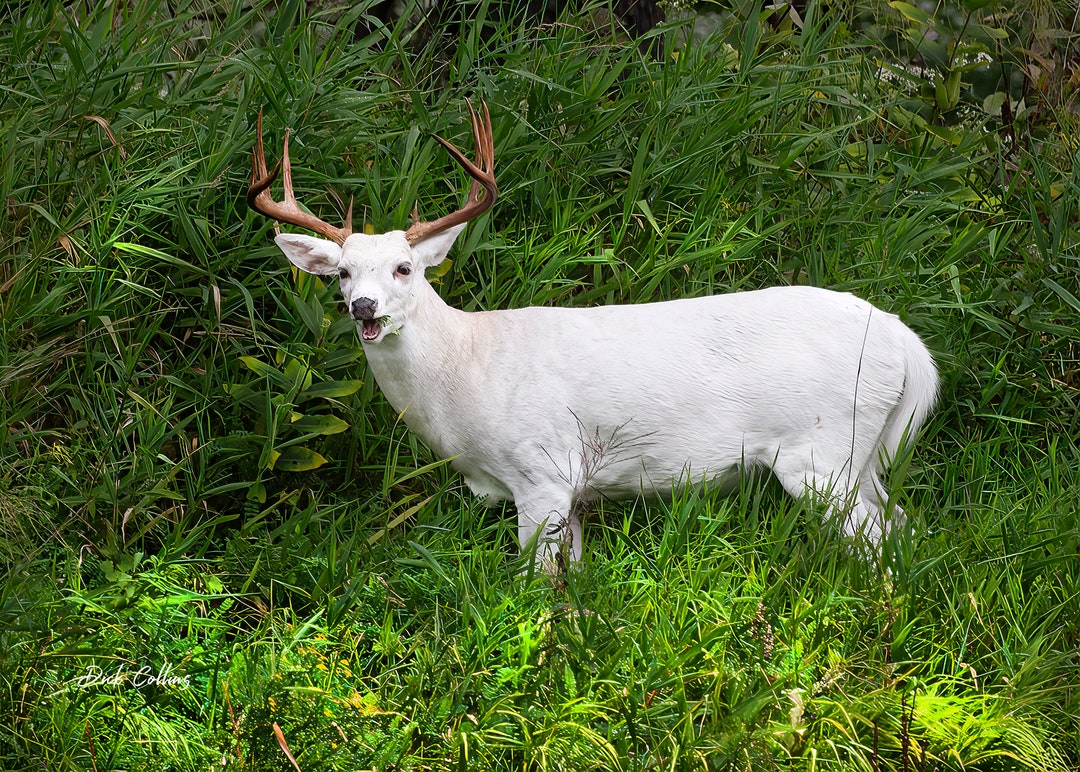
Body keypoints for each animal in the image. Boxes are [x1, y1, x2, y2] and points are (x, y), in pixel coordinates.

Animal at [247, 100, 939, 570]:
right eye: (341, 272)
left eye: (404, 268)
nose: (363, 307)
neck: (469, 373)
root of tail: (905, 343)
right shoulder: (568, 491)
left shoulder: (543, 470)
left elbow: (534, 586)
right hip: (863, 454)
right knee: (903, 526)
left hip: (822, 449)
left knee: (879, 543)